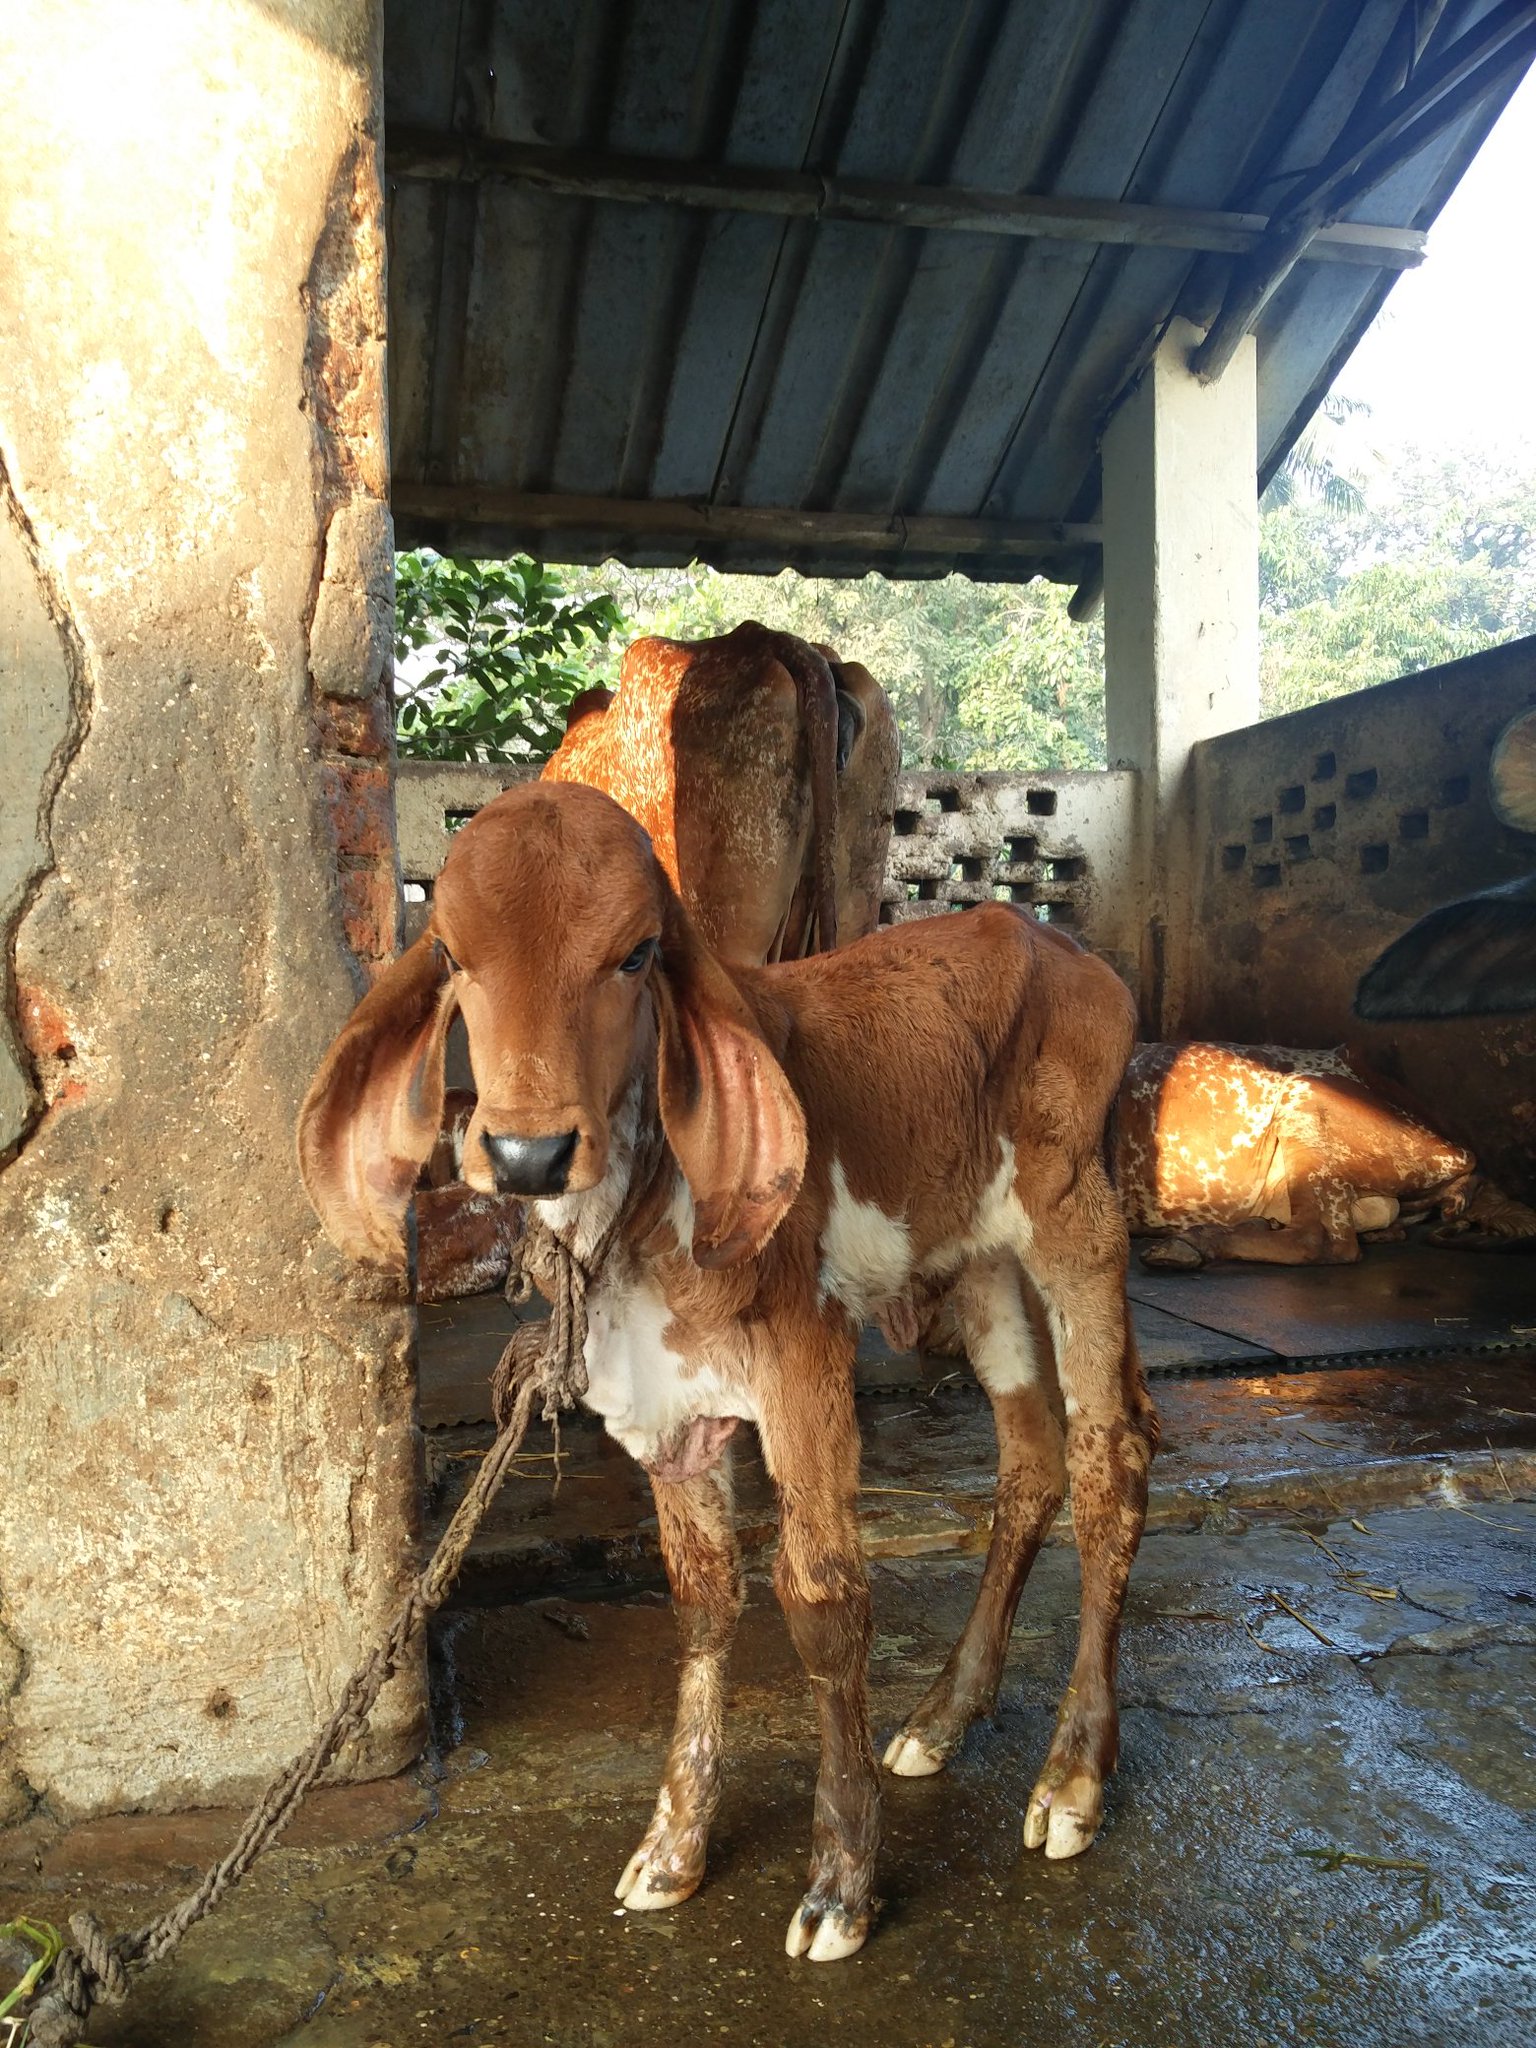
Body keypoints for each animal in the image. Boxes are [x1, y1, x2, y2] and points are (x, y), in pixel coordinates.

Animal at [299, 779, 1154, 1963]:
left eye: (636, 953)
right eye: (453, 954)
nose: (525, 1154)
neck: (634, 1216)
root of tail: (1057, 944)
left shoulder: (806, 1360)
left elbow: (822, 1597)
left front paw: (842, 1878)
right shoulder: (662, 1408)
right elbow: (703, 1599)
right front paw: (674, 1845)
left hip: (1077, 1225)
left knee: (1110, 1460)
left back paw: (1073, 1775)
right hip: (981, 1269)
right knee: (1031, 1456)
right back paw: (945, 1715)